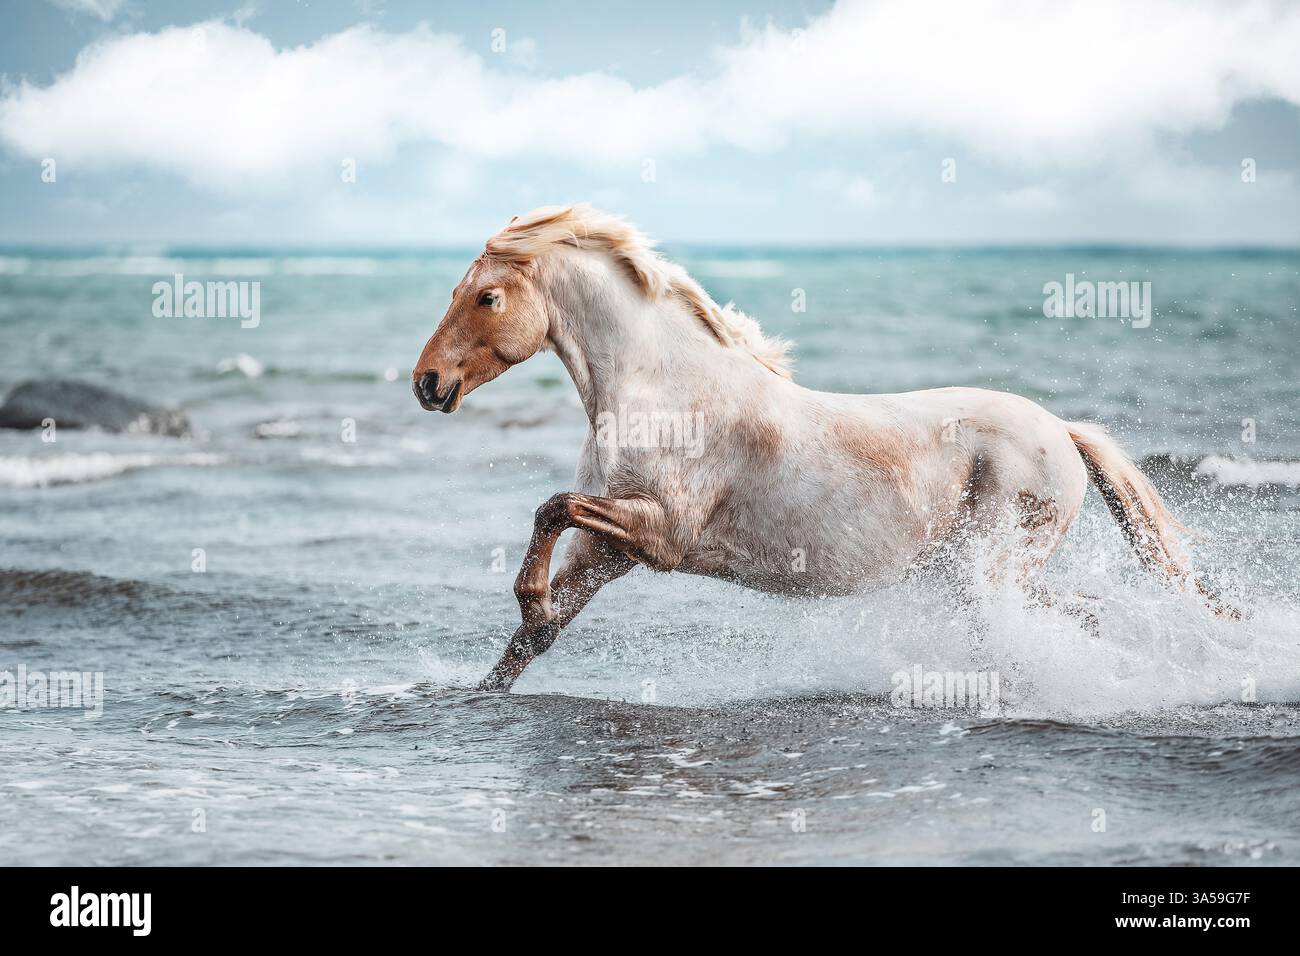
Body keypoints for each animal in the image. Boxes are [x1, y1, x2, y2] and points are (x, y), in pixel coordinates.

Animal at [412, 204, 1230, 692]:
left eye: (487, 297)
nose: (427, 384)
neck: (664, 390)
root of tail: (1062, 431)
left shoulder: (659, 532)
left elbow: (551, 507)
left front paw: (527, 595)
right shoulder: (610, 551)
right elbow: (533, 638)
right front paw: (479, 688)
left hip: (990, 566)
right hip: (984, 575)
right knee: (1078, 616)